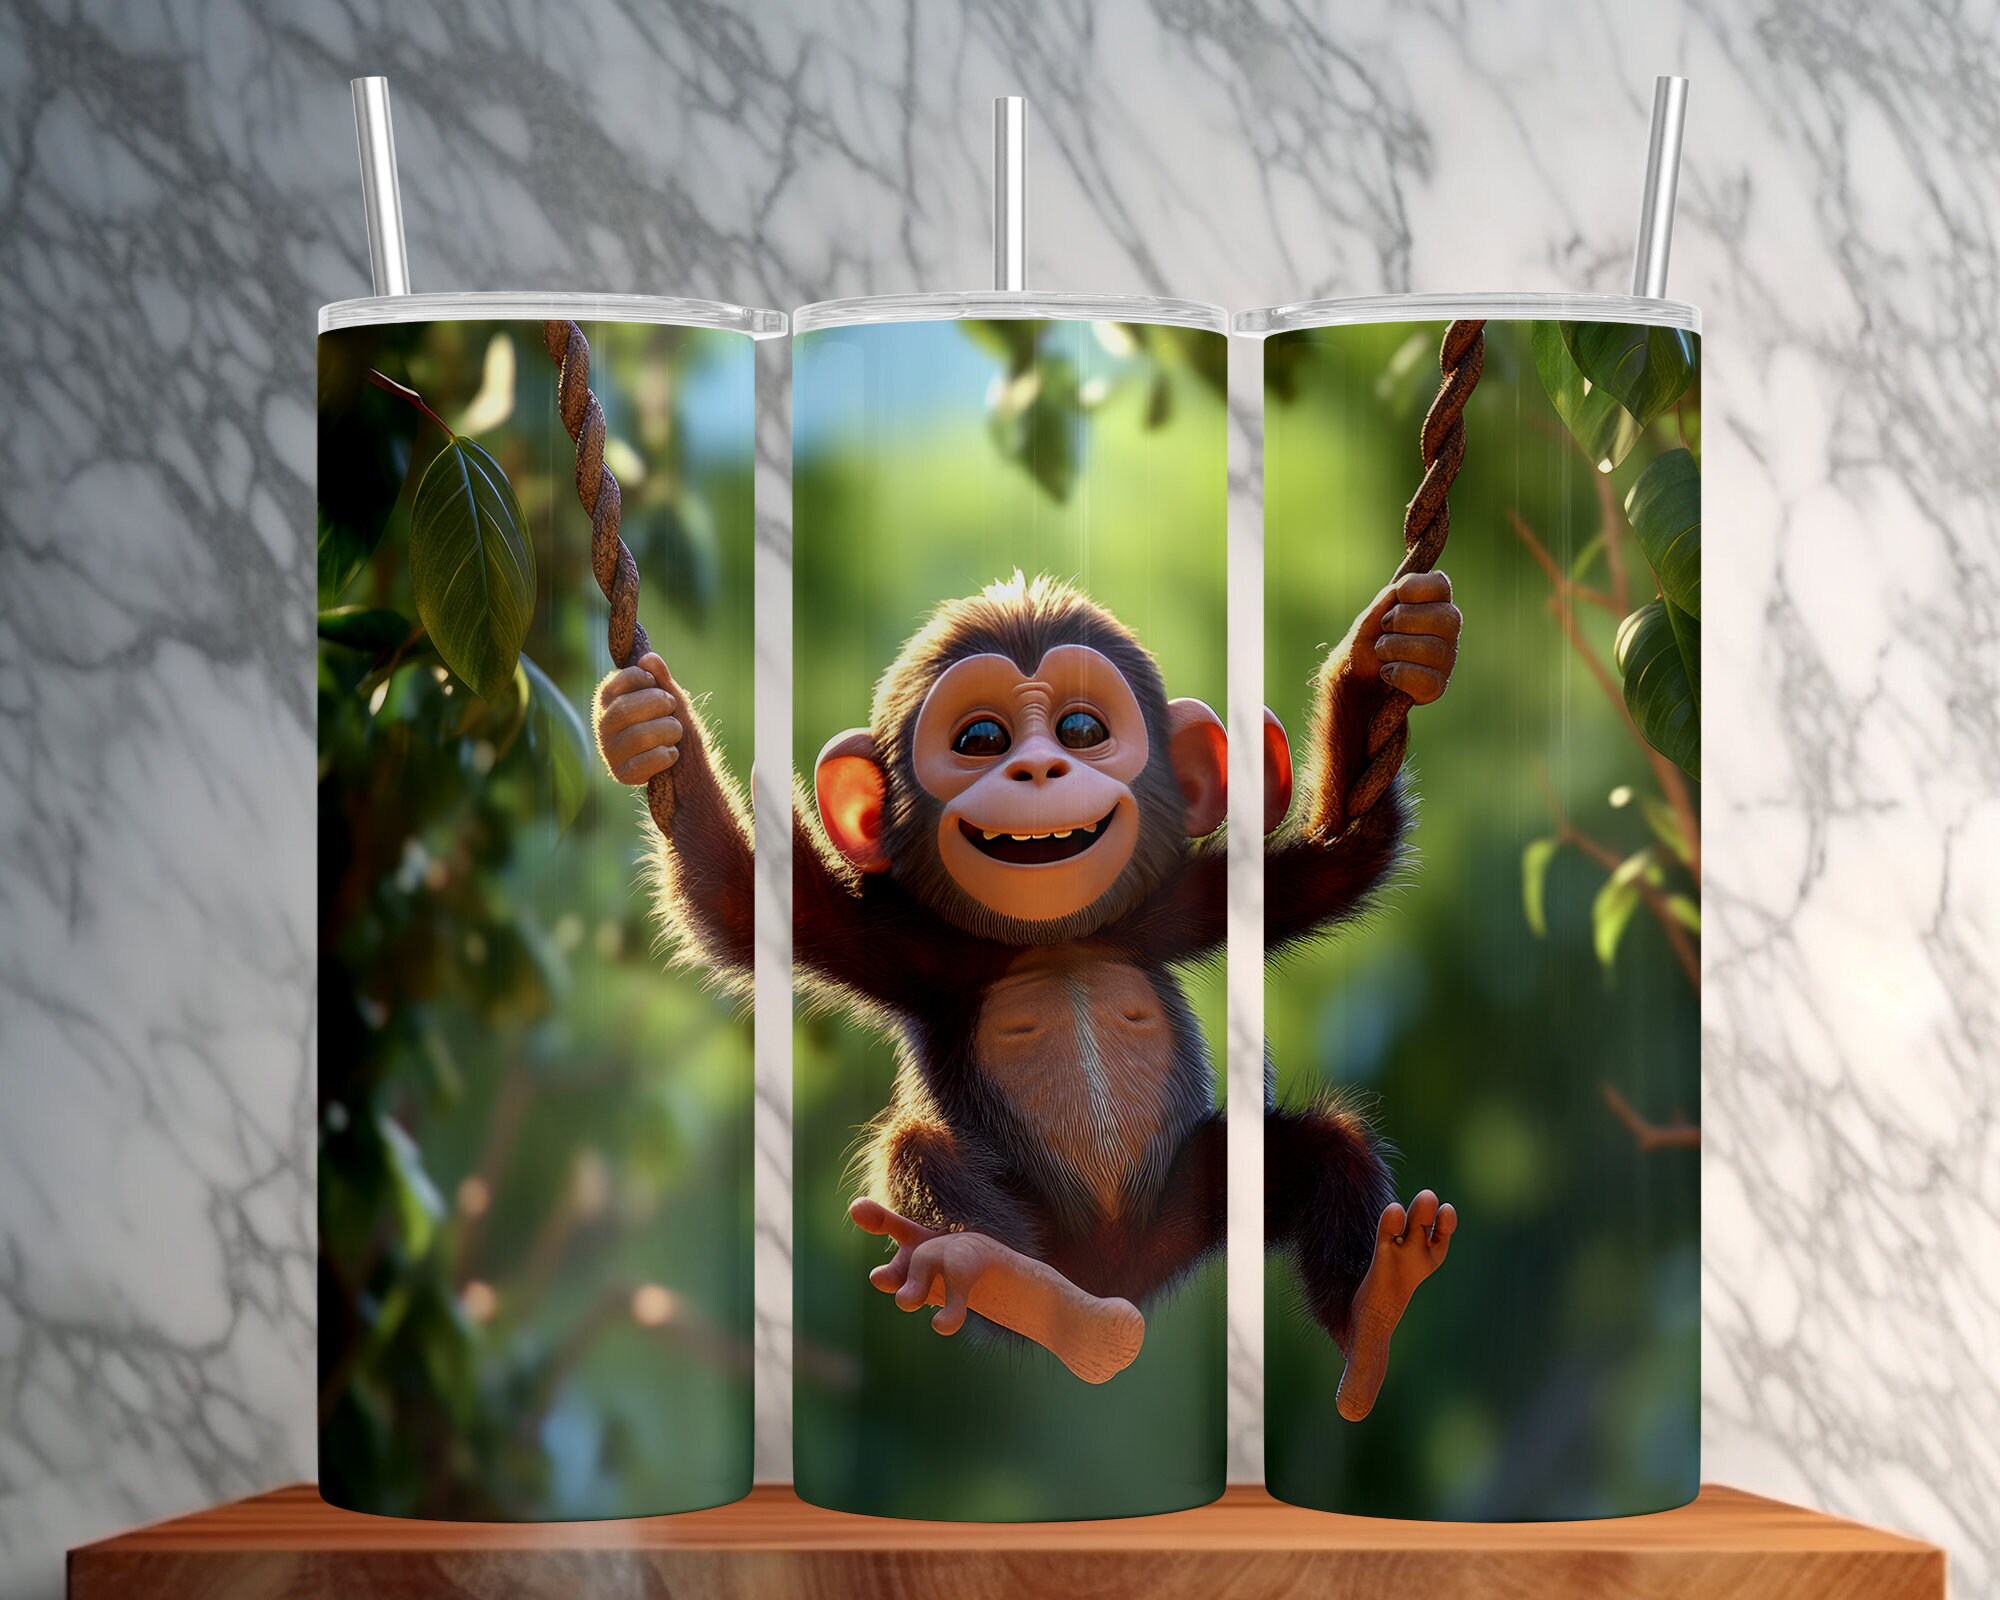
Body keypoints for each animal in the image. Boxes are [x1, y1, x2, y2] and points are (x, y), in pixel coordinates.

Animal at [592, 569, 1459, 1414]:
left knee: (1326, 1153)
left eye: (1081, 729)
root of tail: (1118, 1281)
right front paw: (646, 730)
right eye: (980, 739)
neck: (1052, 937)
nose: (1037, 768)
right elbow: (741, 905)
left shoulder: (1174, 905)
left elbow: (1337, 862)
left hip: (1192, 1202)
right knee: (919, 1153)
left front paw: (1385, 656)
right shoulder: (908, 945)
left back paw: (1373, 1310)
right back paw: (990, 1271)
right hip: (1043, 1237)